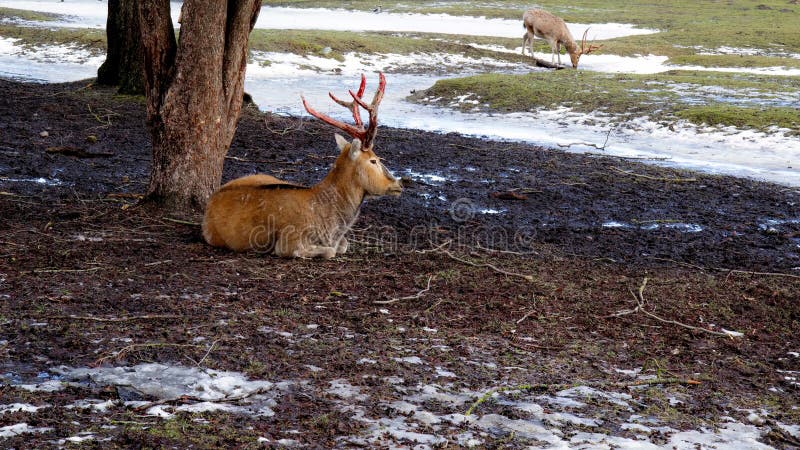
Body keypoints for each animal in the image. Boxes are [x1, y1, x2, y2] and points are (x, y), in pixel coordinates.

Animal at [202, 73, 403, 258]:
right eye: (374, 160)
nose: (398, 184)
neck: (330, 224)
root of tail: (211, 199)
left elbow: (344, 245)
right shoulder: (288, 241)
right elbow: (330, 251)